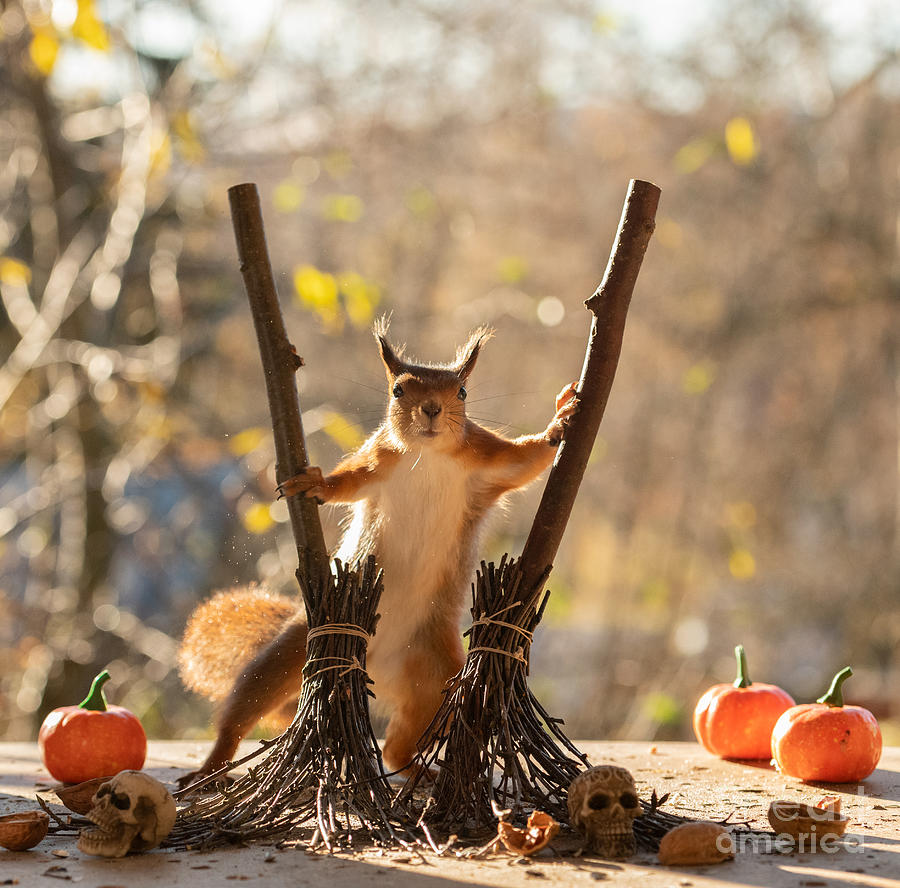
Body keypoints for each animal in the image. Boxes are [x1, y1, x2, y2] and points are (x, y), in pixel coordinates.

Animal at [177, 320, 578, 783]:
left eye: (461, 392)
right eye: (398, 391)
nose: (431, 409)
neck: (426, 454)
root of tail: (372, 670)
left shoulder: (486, 459)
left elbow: (525, 463)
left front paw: (559, 423)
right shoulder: (377, 461)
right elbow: (347, 482)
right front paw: (314, 483)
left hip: (436, 677)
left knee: (397, 745)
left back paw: (422, 771)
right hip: (293, 653)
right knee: (243, 708)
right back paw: (210, 765)